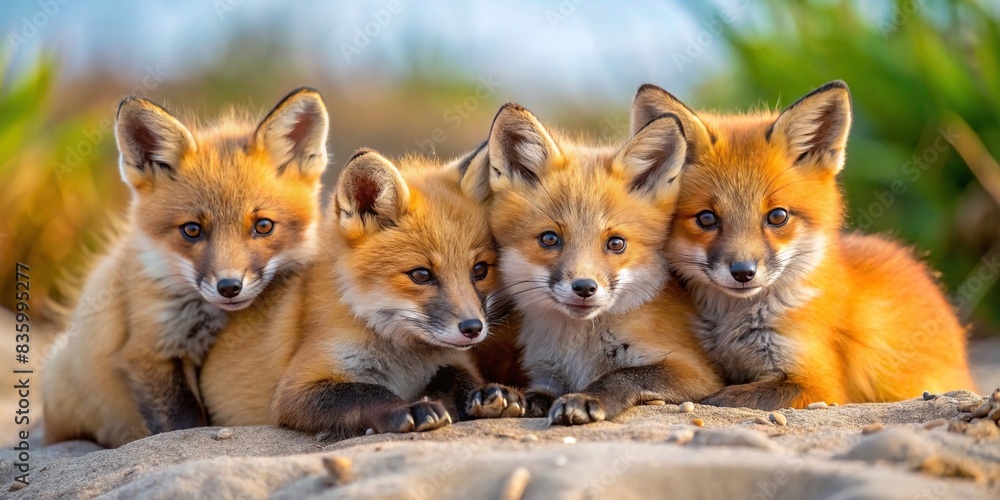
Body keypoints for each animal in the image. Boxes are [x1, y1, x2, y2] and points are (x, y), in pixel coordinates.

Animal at [41, 88, 330, 447]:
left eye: (263, 226)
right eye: (192, 230)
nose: (229, 287)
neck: (215, 319)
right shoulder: (150, 350)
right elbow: (184, 425)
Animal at [199, 147, 525, 437]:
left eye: (479, 270)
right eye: (421, 275)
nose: (473, 328)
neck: (404, 358)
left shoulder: (453, 361)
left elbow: (461, 379)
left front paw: (486, 393)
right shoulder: (296, 387)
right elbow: (366, 393)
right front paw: (406, 409)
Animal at [466, 103, 723, 426]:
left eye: (616, 243)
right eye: (549, 239)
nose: (585, 288)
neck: (579, 351)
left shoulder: (698, 373)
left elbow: (624, 374)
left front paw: (587, 398)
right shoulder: (548, 373)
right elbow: (536, 394)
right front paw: (511, 397)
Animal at [630, 81, 977, 410]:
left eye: (777, 216)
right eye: (706, 219)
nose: (743, 272)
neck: (732, 326)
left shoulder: (819, 384)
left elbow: (719, 398)